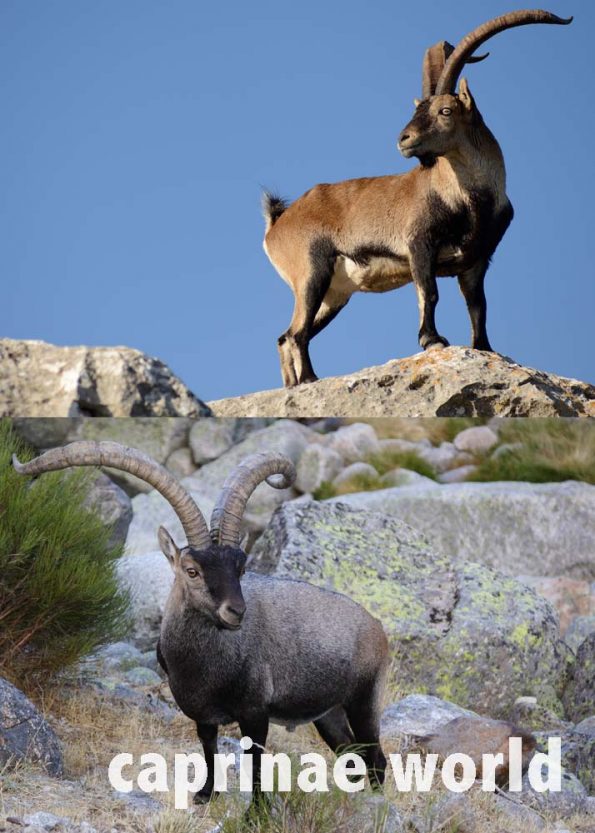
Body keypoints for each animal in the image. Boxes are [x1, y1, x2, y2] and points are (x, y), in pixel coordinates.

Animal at [13, 442, 389, 803]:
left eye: (241, 567)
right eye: (191, 570)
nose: (236, 612)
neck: (205, 663)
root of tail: (376, 627)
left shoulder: (254, 712)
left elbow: (256, 765)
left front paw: (257, 813)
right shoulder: (201, 714)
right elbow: (209, 750)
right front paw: (205, 795)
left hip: (364, 700)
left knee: (376, 757)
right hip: (328, 713)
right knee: (353, 754)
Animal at [263, 10, 573, 387]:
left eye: (445, 111)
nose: (403, 139)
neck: (470, 199)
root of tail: (277, 223)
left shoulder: (478, 260)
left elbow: (479, 306)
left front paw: (485, 348)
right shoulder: (419, 244)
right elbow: (430, 293)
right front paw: (432, 339)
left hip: (334, 293)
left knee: (285, 337)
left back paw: (294, 385)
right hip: (311, 274)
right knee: (297, 334)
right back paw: (310, 378)